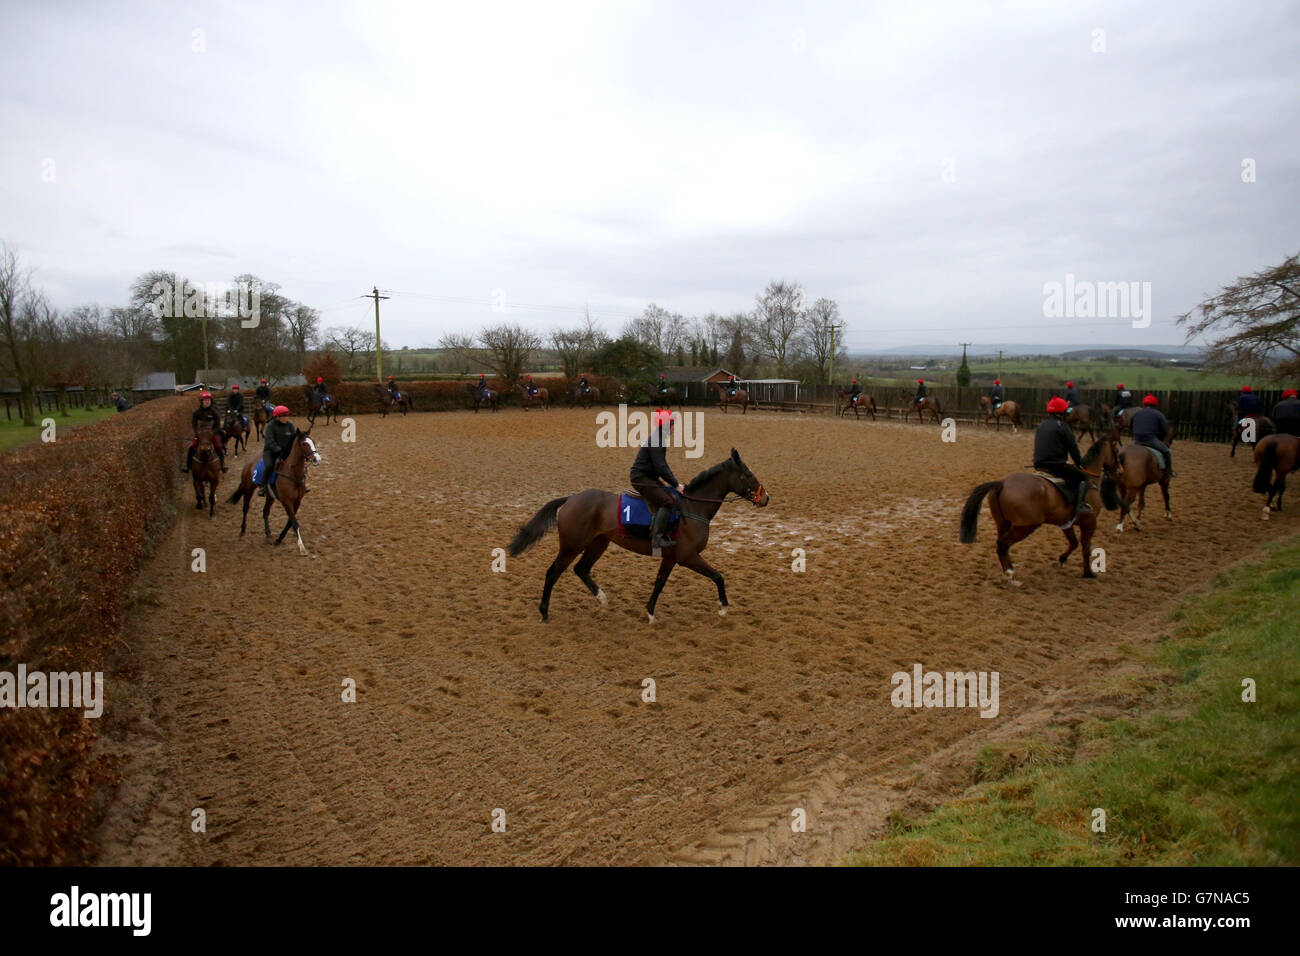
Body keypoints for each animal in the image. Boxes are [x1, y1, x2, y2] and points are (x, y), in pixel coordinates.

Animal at [507, 449, 769, 623]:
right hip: (572, 545)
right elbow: (718, 576)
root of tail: (571, 499)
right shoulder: (688, 557)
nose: (765, 498)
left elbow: (660, 582)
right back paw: (544, 612)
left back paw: (602, 599)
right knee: (553, 572)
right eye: (747, 475)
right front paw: (723, 607)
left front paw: (650, 612)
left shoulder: (671, 558)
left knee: (581, 569)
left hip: (598, 543)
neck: (692, 508)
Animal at [958, 435, 1120, 585]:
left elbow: (1073, 543)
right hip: (1025, 527)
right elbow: (1086, 547)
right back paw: (1010, 573)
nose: (1118, 470)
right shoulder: (1090, 523)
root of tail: (1002, 483)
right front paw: (1088, 573)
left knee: (1002, 546)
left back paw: (1009, 571)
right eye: (1116, 451)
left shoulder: (1066, 523)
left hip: (1004, 524)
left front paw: (1061, 560)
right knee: (1003, 544)